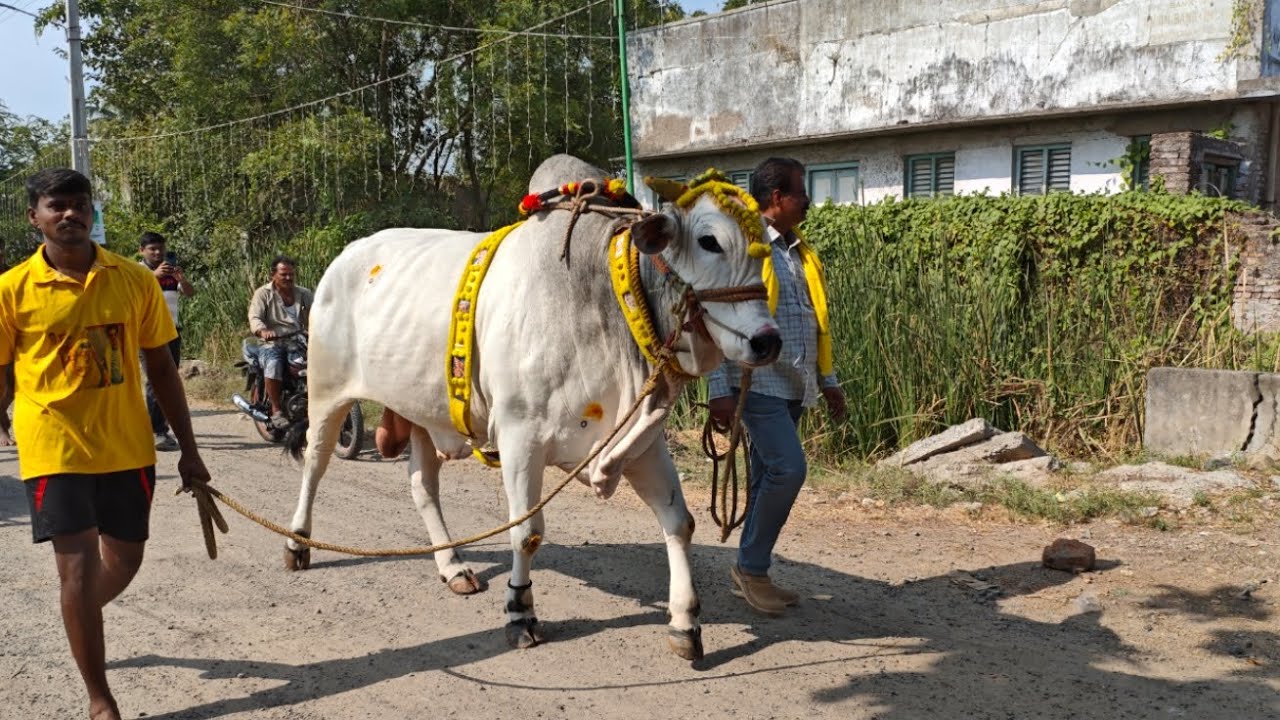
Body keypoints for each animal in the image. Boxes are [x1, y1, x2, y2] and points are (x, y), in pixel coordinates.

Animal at [283, 155, 780, 661]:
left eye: (766, 243)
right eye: (709, 241)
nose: (767, 341)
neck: (605, 301)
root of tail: (346, 256)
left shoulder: (639, 441)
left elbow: (679, 523)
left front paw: (685, 622)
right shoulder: (521, 438)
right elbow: (527, 533)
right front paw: (520, 612)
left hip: (423, 411)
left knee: (422, 486)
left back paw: (453, 566)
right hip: (326, 392)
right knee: (314, 463)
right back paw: (298, 543)